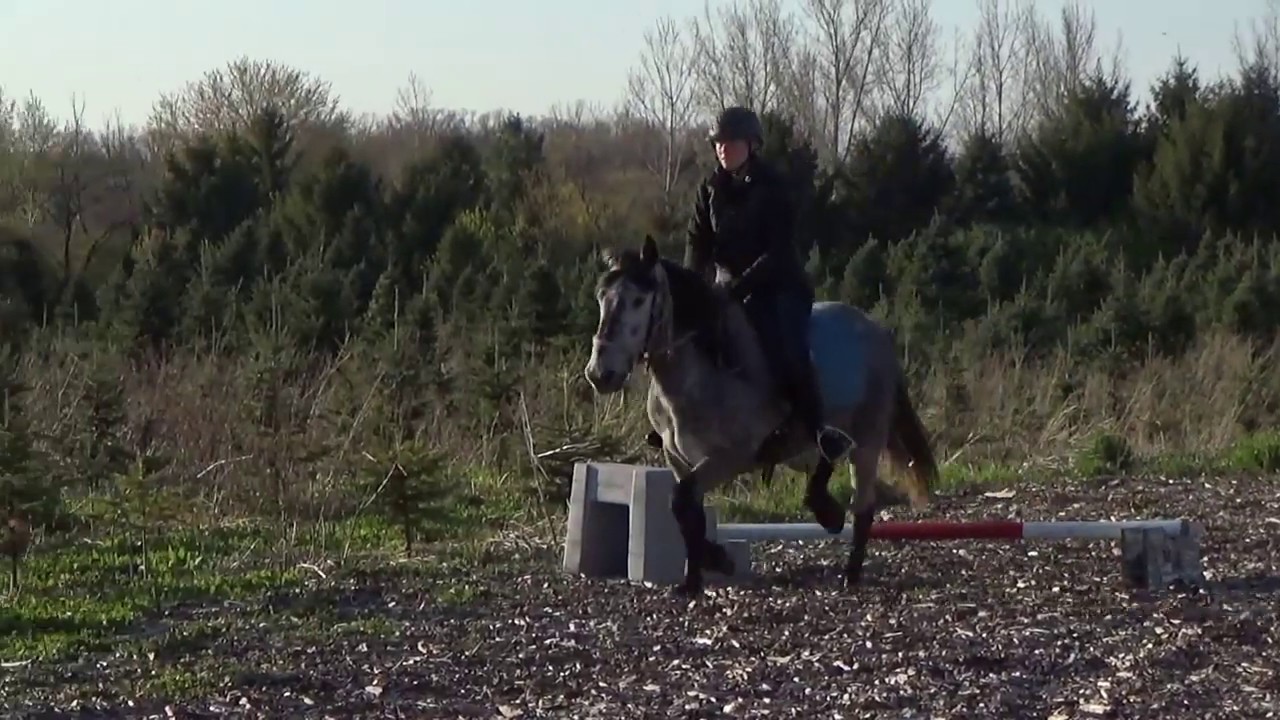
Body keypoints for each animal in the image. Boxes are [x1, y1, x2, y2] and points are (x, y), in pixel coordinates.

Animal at [583, 234, 939, 597]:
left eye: (639, 300)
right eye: (601, 298)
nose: (600, 374)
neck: (700, 370)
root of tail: (877, 331)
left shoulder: (732, 457)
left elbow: (682, 503)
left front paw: (715, 564)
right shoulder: (677, 457)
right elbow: (687, 514)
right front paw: (697, 576)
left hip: (868, 437)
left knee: (863, 504)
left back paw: (849, 572)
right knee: (828, 456)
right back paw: (826, 510)